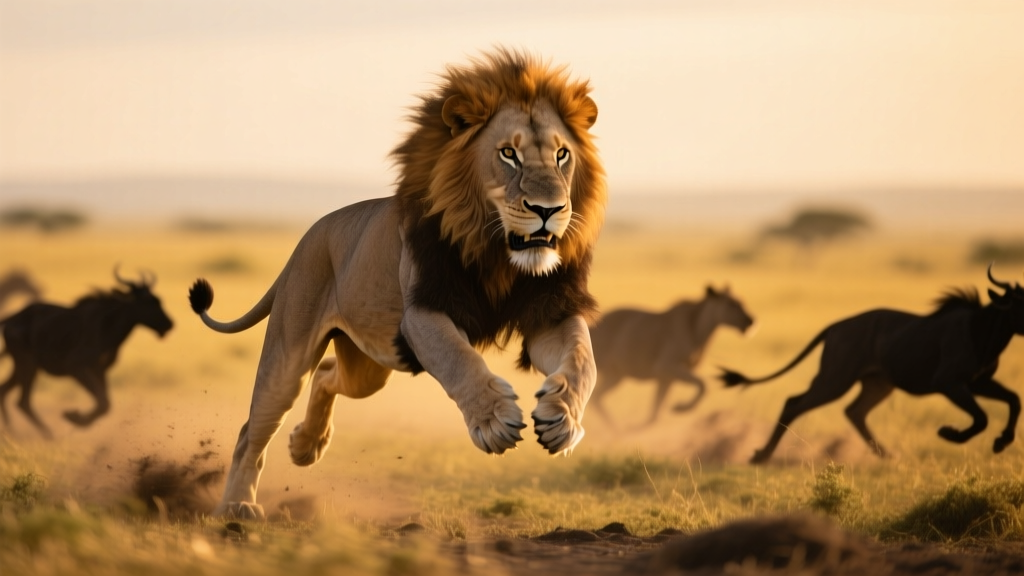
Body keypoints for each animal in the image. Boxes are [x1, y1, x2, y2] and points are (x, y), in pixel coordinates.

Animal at [188, 49, 606, 519]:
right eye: (508, 154)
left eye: (562, 155)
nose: (547, 210)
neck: (497, 253)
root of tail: (306, 238)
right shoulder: (422, 312)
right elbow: (458, 358)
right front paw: (494, 420)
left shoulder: (549, 312)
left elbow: (582, 360)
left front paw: (562, 418)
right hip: (290, 355)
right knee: (252, 429)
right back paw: (237, 505)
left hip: (372, 364)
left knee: (329, 374)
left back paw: (305, 445)